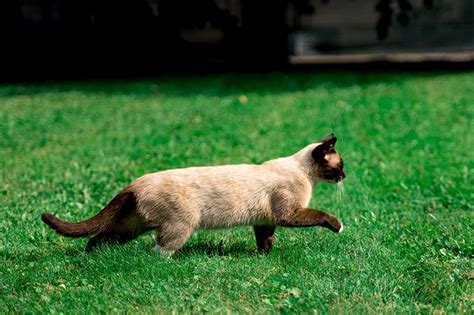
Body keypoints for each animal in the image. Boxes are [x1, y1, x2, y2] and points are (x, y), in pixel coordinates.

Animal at [41, 134, 344, 256]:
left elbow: (265, 242)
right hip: (181, 225)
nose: (345, 177)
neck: (303, 172)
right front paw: (339, 225)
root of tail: (136, 183)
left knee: (98, 238)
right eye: (340, 166)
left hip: (131, 226)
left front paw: (264, 258)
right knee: (158, 250)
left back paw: (90, 259)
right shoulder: (288, 214)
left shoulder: (265, 221)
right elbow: (322, 216)